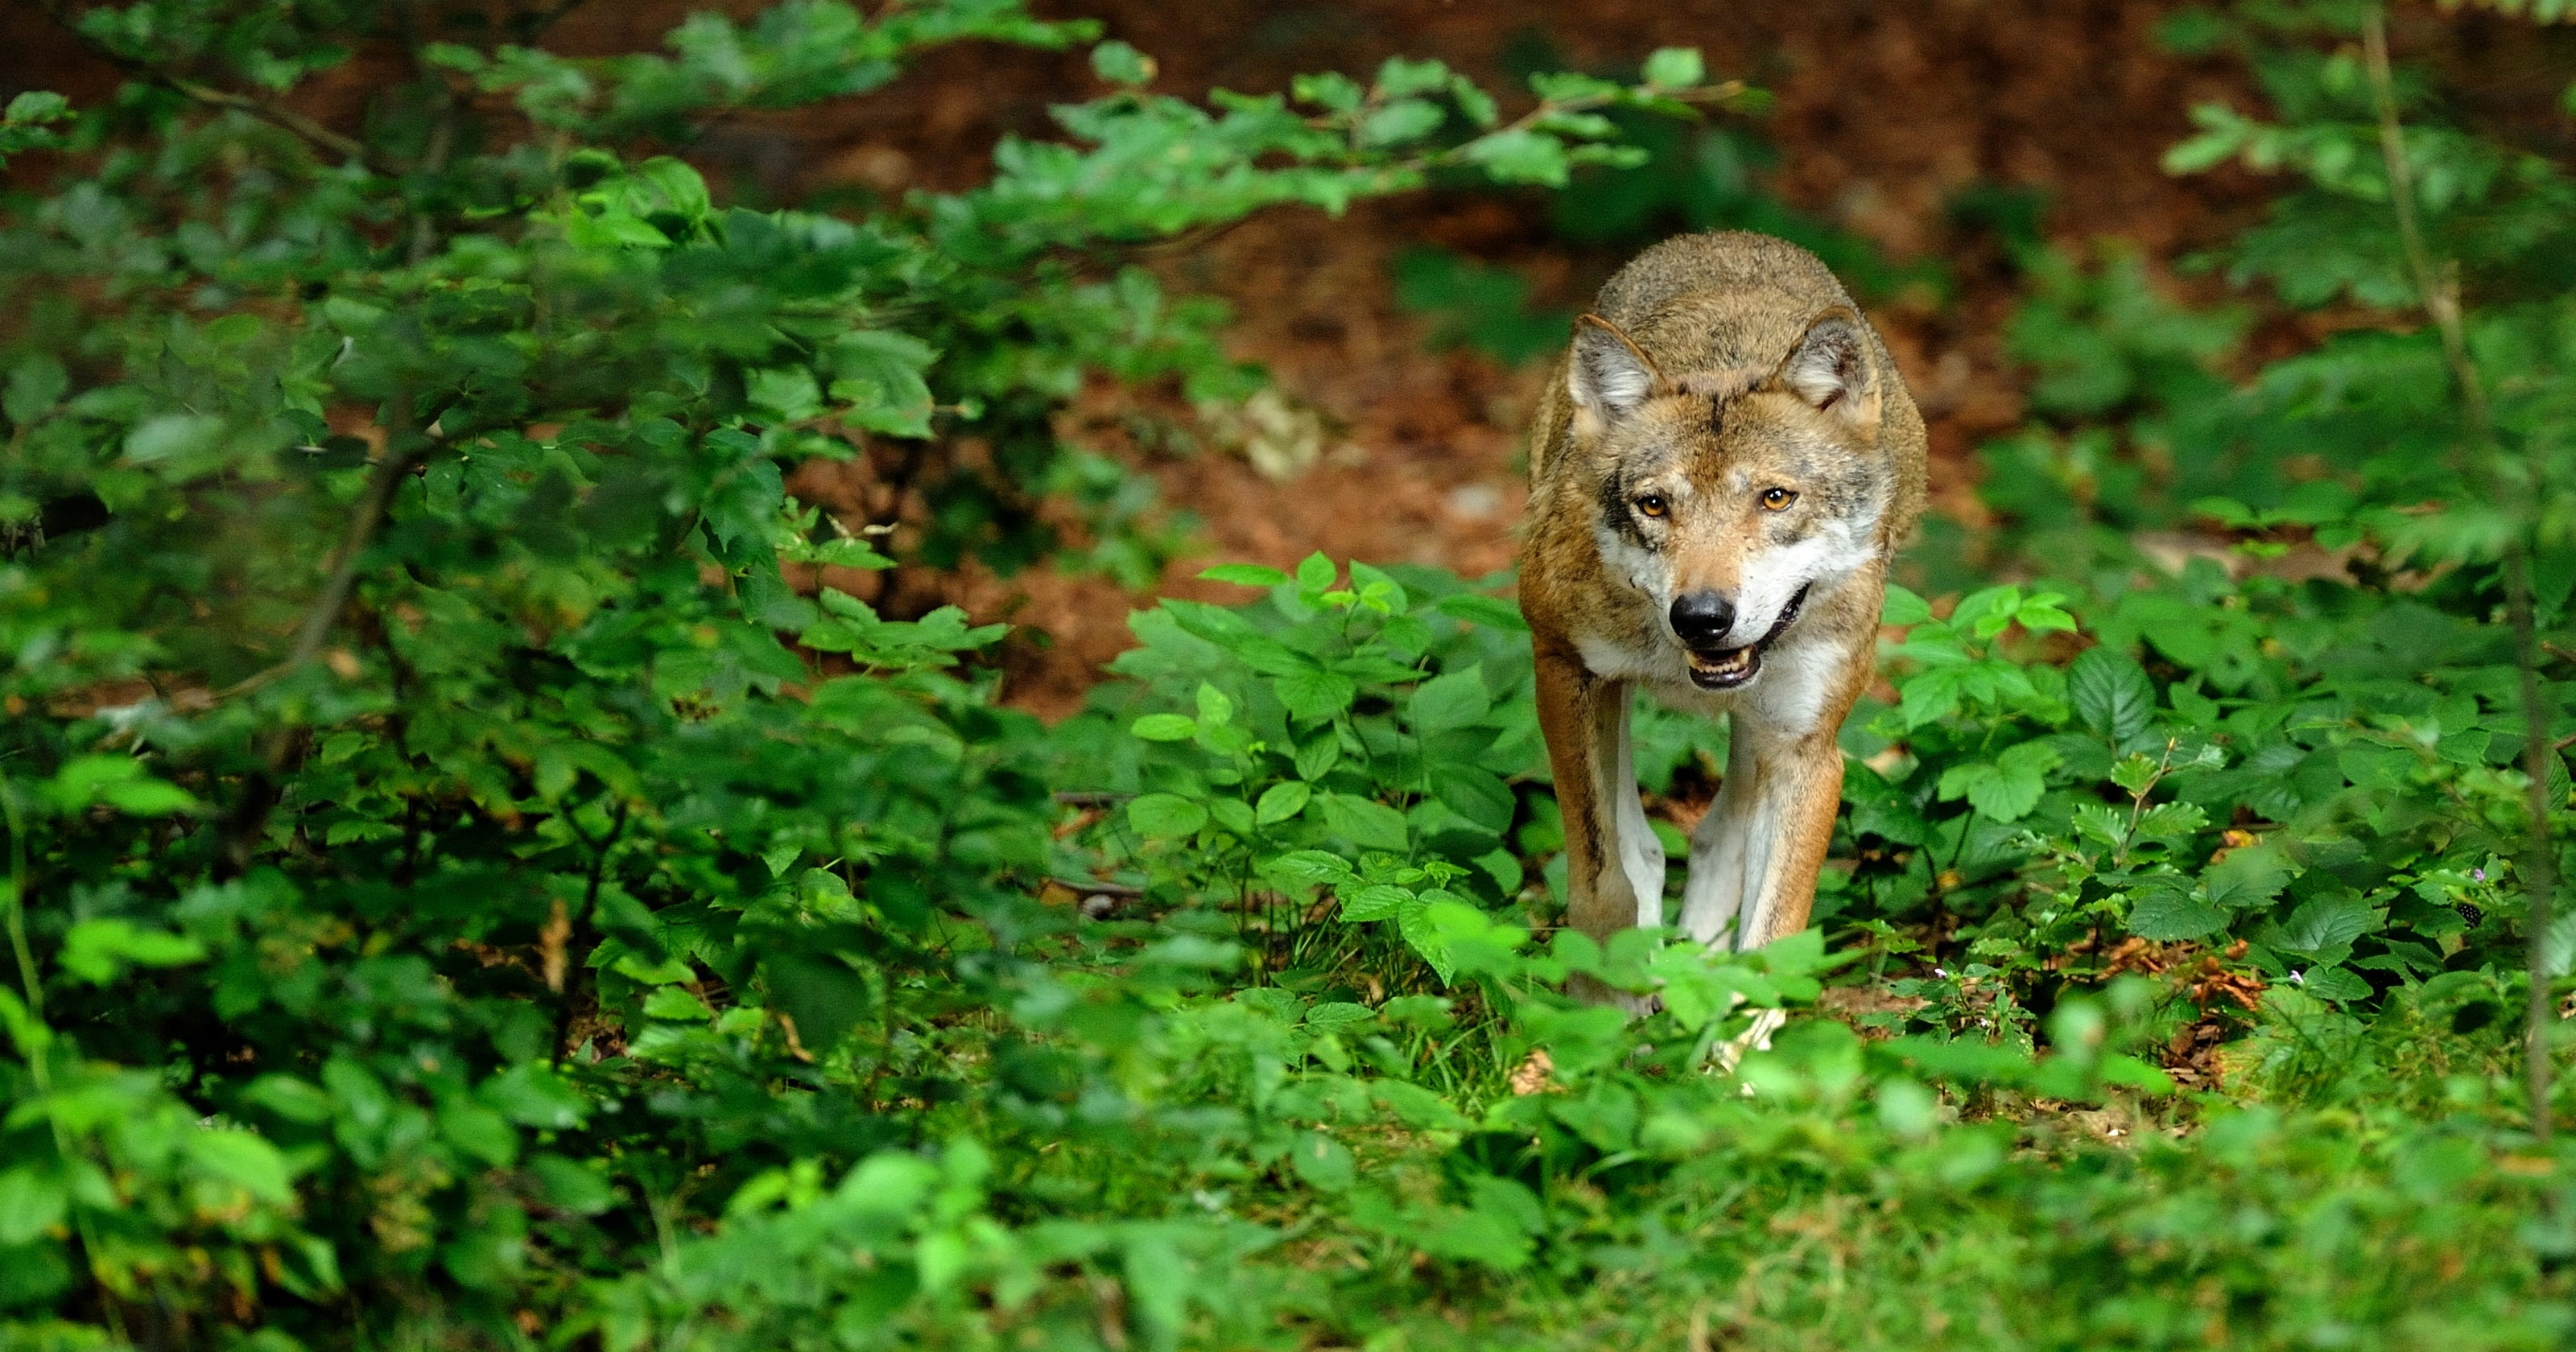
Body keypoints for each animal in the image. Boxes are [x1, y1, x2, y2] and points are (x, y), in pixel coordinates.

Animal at [1518, 232, 1926, 992]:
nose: (1701, 616)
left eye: (1775, 497)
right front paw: (1605, 1001)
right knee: (1644, 844)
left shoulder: (1809, 753)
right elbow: (1604, 876)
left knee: (1718, 838)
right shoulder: (1562, 667)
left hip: (1765, 726)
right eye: (1654, 504)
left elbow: (1773, 943)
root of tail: (1727, 237)